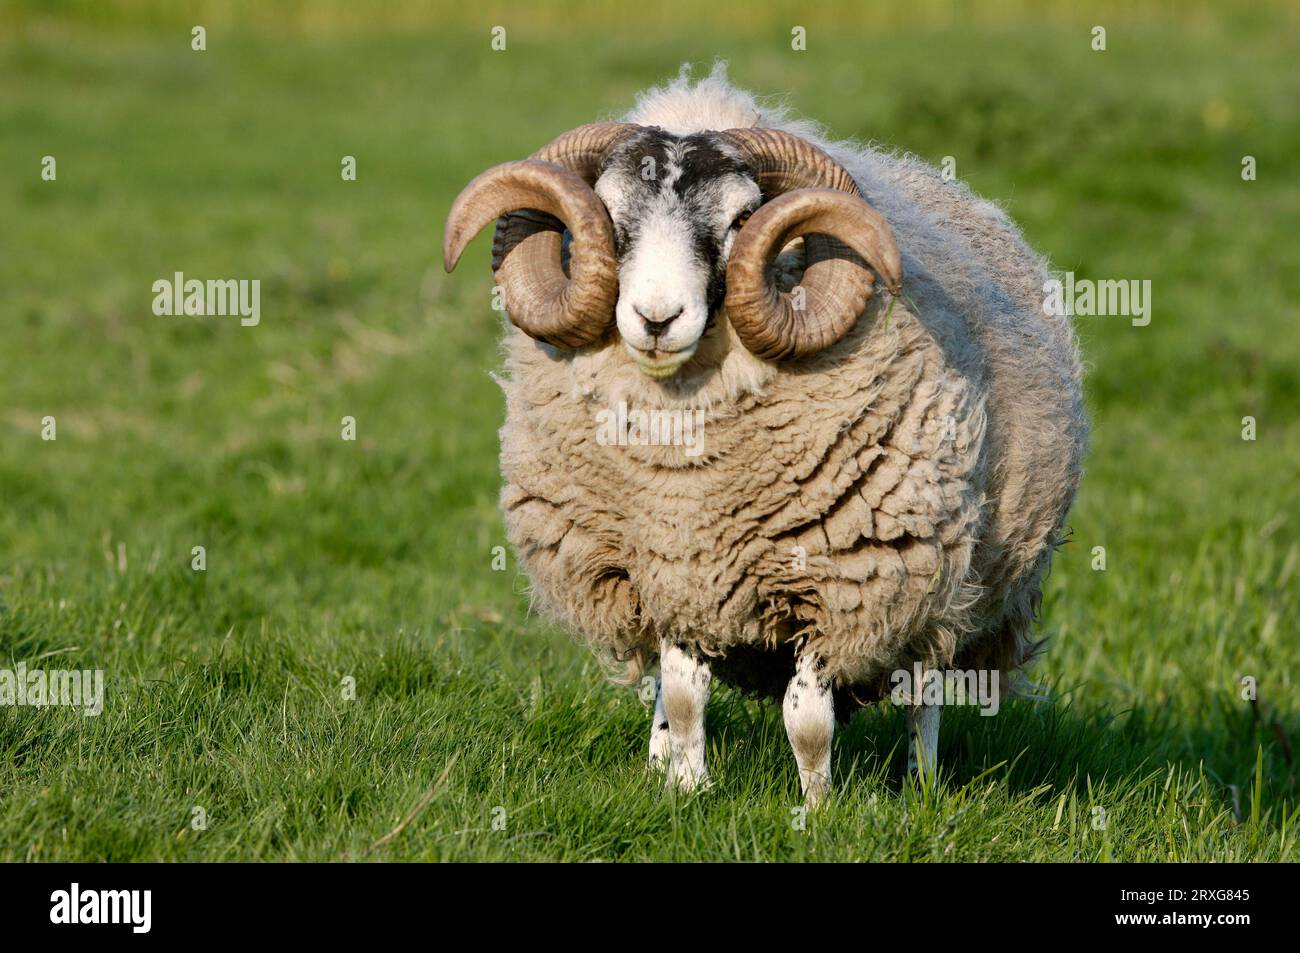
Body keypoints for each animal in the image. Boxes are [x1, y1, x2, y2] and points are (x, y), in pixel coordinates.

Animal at [442, 65, 1086, 804]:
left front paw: (817, 807)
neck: (684, 466)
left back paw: (922, 787)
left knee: (925, 684)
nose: (656, 318)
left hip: (943, 572)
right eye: (611, 215)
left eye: (740, 220)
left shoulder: (845, 582)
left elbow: (807, 717)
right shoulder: (677, 569)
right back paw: (660, 762)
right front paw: (688, 788)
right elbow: (684, 694)